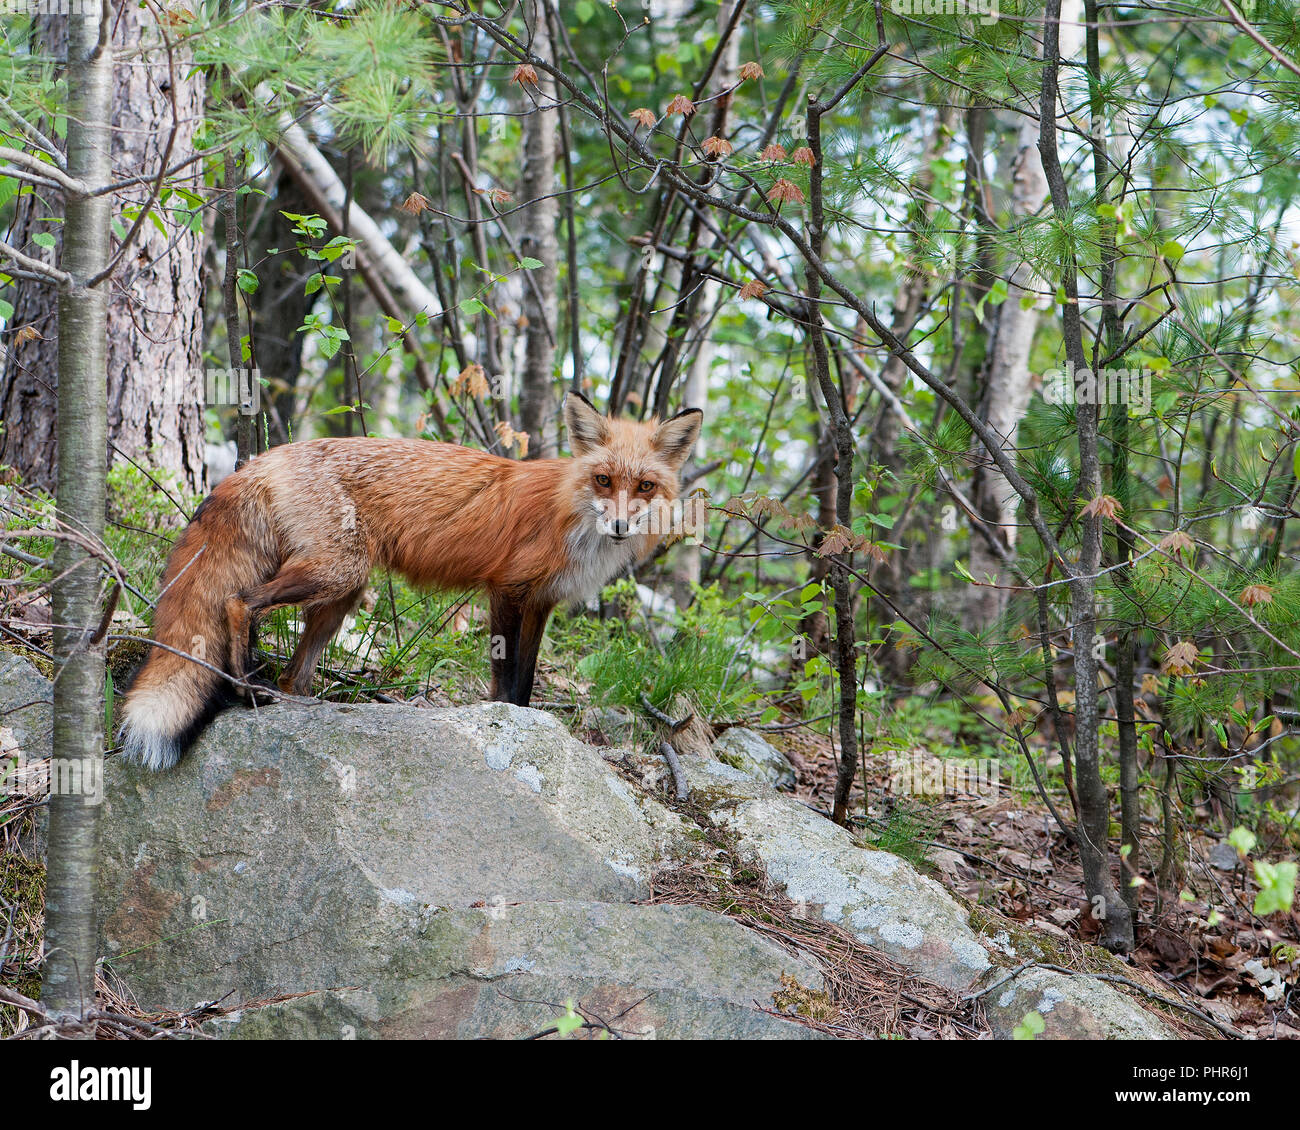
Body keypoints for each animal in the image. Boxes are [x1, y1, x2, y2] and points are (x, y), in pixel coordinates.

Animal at [118, 392, 703, 771]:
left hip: (342, 592)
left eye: (645, 486)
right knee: (237, 603)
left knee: (294, 673)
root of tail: (261, 459)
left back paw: (300, 706)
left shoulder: (542, 603)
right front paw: (509, 729)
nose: (621, 525)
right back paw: (245, 687)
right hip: (337, 571)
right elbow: (506, 684)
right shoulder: (508, 590)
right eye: (603, 479)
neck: (571, 517)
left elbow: (525, 684)